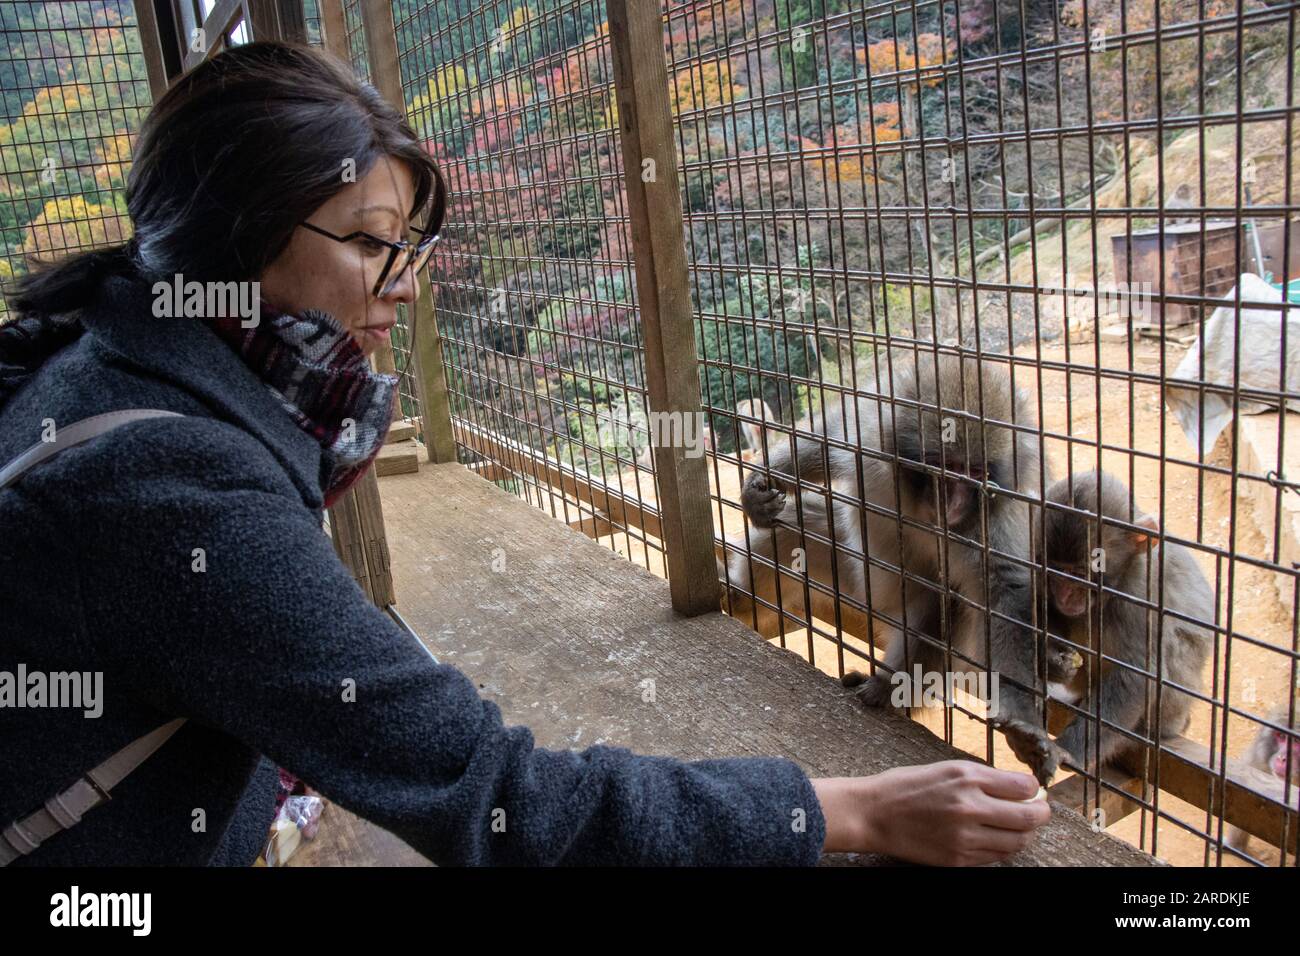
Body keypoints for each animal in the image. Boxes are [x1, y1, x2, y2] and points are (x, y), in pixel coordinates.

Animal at [718, 349, 1066, 784]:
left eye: (976, 473)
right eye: (945, 467)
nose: (954, 505)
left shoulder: (995, 514)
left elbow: (1005, 590)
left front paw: (1022, 721)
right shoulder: (872, 439)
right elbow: (830, 436)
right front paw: (758, 486)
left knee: (940, 607)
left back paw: (886, 689)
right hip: (852, 570)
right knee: (795, 524)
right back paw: (741, 598)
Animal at [1040, 470, 1214, 775]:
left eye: (1080, 573)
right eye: (1057, 571)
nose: (1065, 594)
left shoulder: (1139, 591)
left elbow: (1137, 673)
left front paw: (1071, 750)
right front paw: (1054, 661)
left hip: (1175, 706)